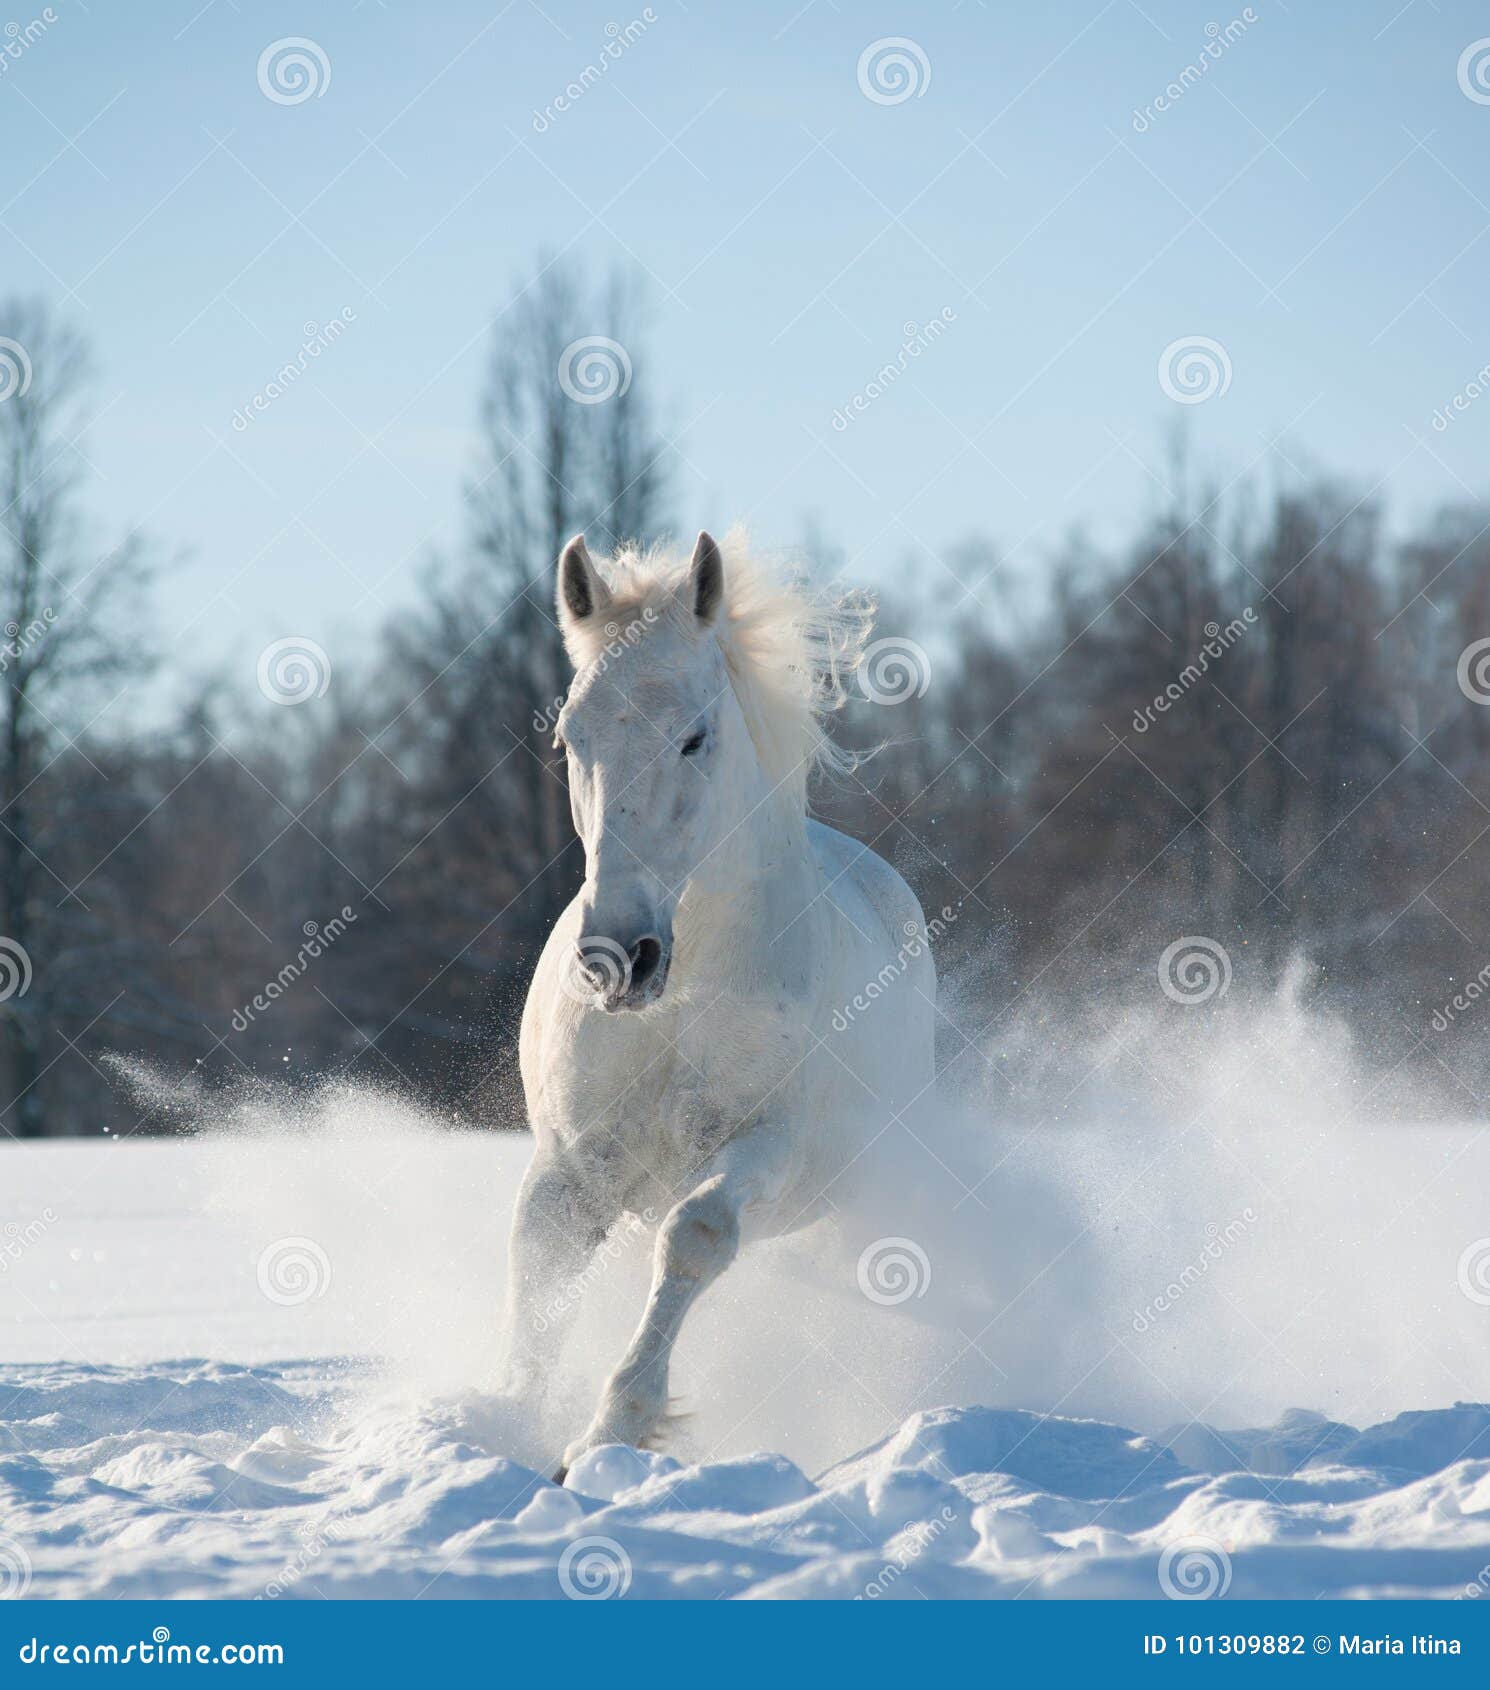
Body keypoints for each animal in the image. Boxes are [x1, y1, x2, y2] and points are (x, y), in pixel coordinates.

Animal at [500, 528, 937, 1479]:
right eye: (569, 736)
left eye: (695, 736)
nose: (618, 958)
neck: (684, 988)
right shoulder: (571, 1164)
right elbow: (539, 1274)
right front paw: (499, 1427)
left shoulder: (765, 1148)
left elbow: (694, 1238)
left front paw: (608, 1434)